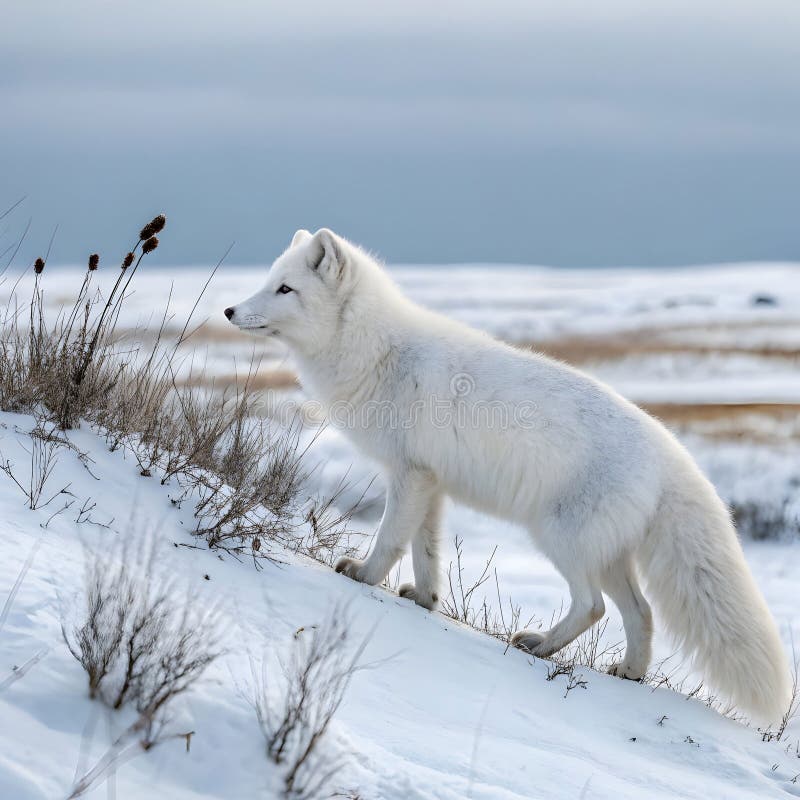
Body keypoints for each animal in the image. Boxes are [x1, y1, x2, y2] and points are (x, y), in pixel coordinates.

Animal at [225, 227, 791, 723]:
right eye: (269, 280)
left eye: (285, 289)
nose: (229, 309)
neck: (379, 351)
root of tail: (670, 451)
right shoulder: (432, 483)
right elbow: (426, 552)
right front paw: (425, 600)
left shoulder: (408, 474)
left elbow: (389, 540)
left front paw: (363, 576)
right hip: (607, 555)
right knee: (641, 613)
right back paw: (627, 673)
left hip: (561, 538)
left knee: (593, 607)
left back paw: (538, 646)